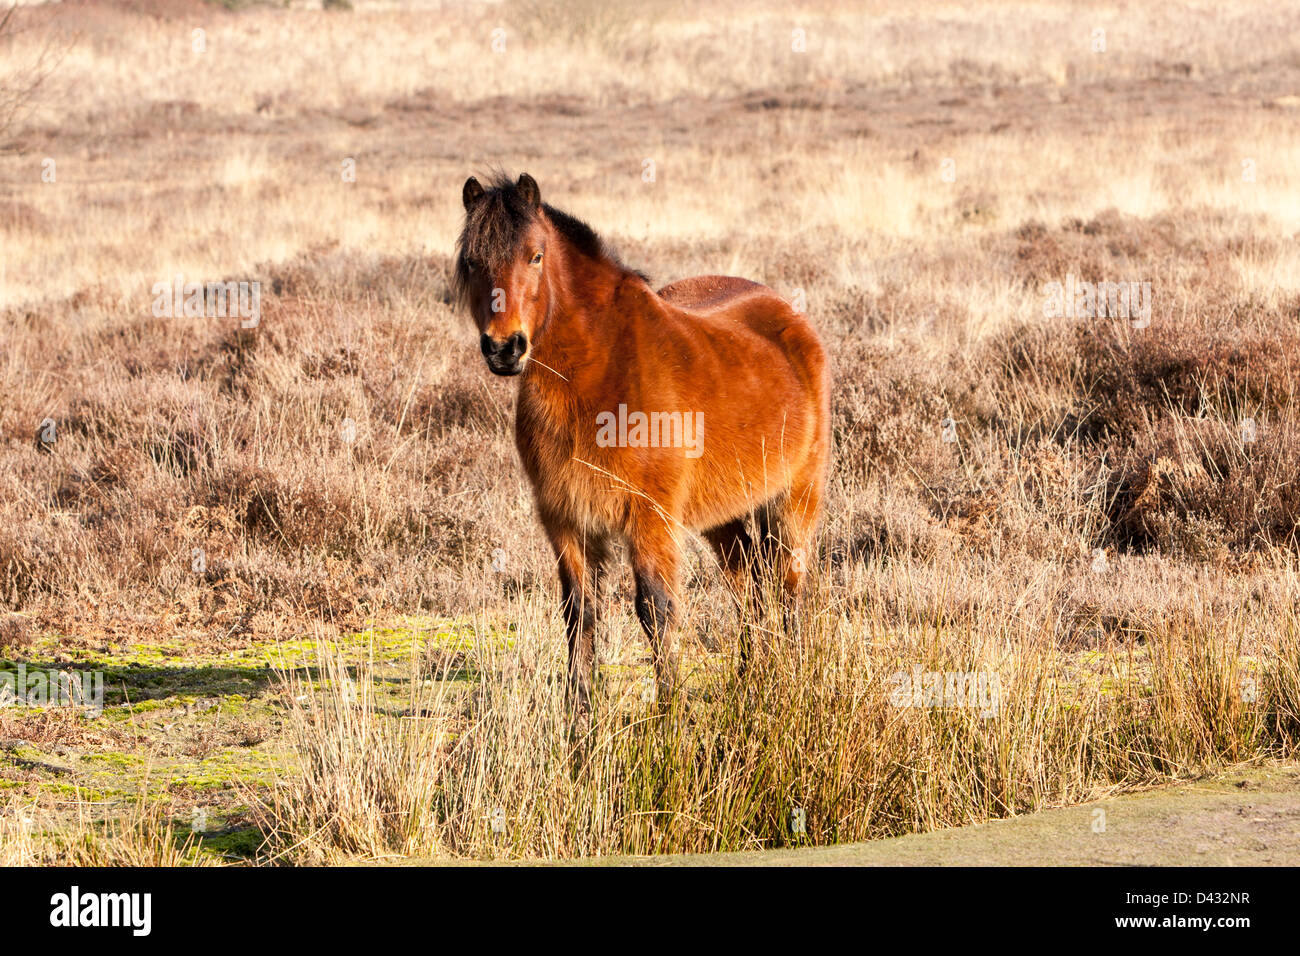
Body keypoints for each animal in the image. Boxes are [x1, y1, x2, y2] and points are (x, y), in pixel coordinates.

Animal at [453, 172, 830, 712]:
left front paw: (668, 715)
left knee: (790, 586)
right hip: (725, 517)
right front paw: (579, 715)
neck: (599, 371)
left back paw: (793, 684)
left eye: (535, 255)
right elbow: (579, 612)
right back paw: (750, 682)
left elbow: (656, 609)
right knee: (748, 586)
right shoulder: (566, 520)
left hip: (794, 498)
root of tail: (789, 316)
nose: (504, 349)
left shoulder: (649, 519)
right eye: (471, 262)